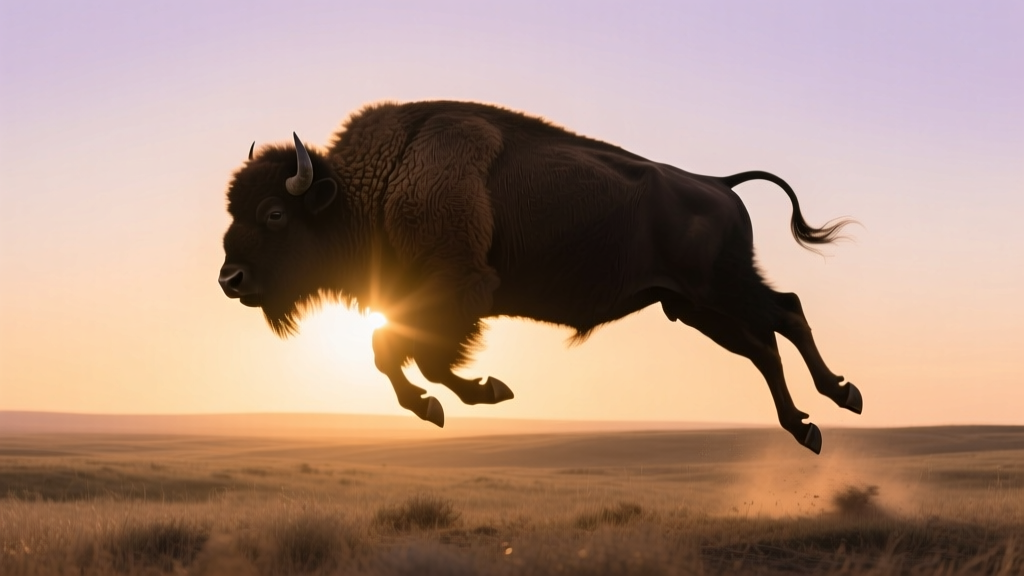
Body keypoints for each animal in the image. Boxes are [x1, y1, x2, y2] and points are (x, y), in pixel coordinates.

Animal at [219, 101, 860, 454]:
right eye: (234, 210)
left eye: (274, 214)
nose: (231, 279)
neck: (379, 185)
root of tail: (719, 184)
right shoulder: (423, 303)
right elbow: (391, 355)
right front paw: (448, 401)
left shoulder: (457, 292)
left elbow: (406, 352)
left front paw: (476, 392)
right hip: (695, 308)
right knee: (764, 345)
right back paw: (806, 427)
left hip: (720, 292)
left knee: (786, 314)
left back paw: (841, 395)